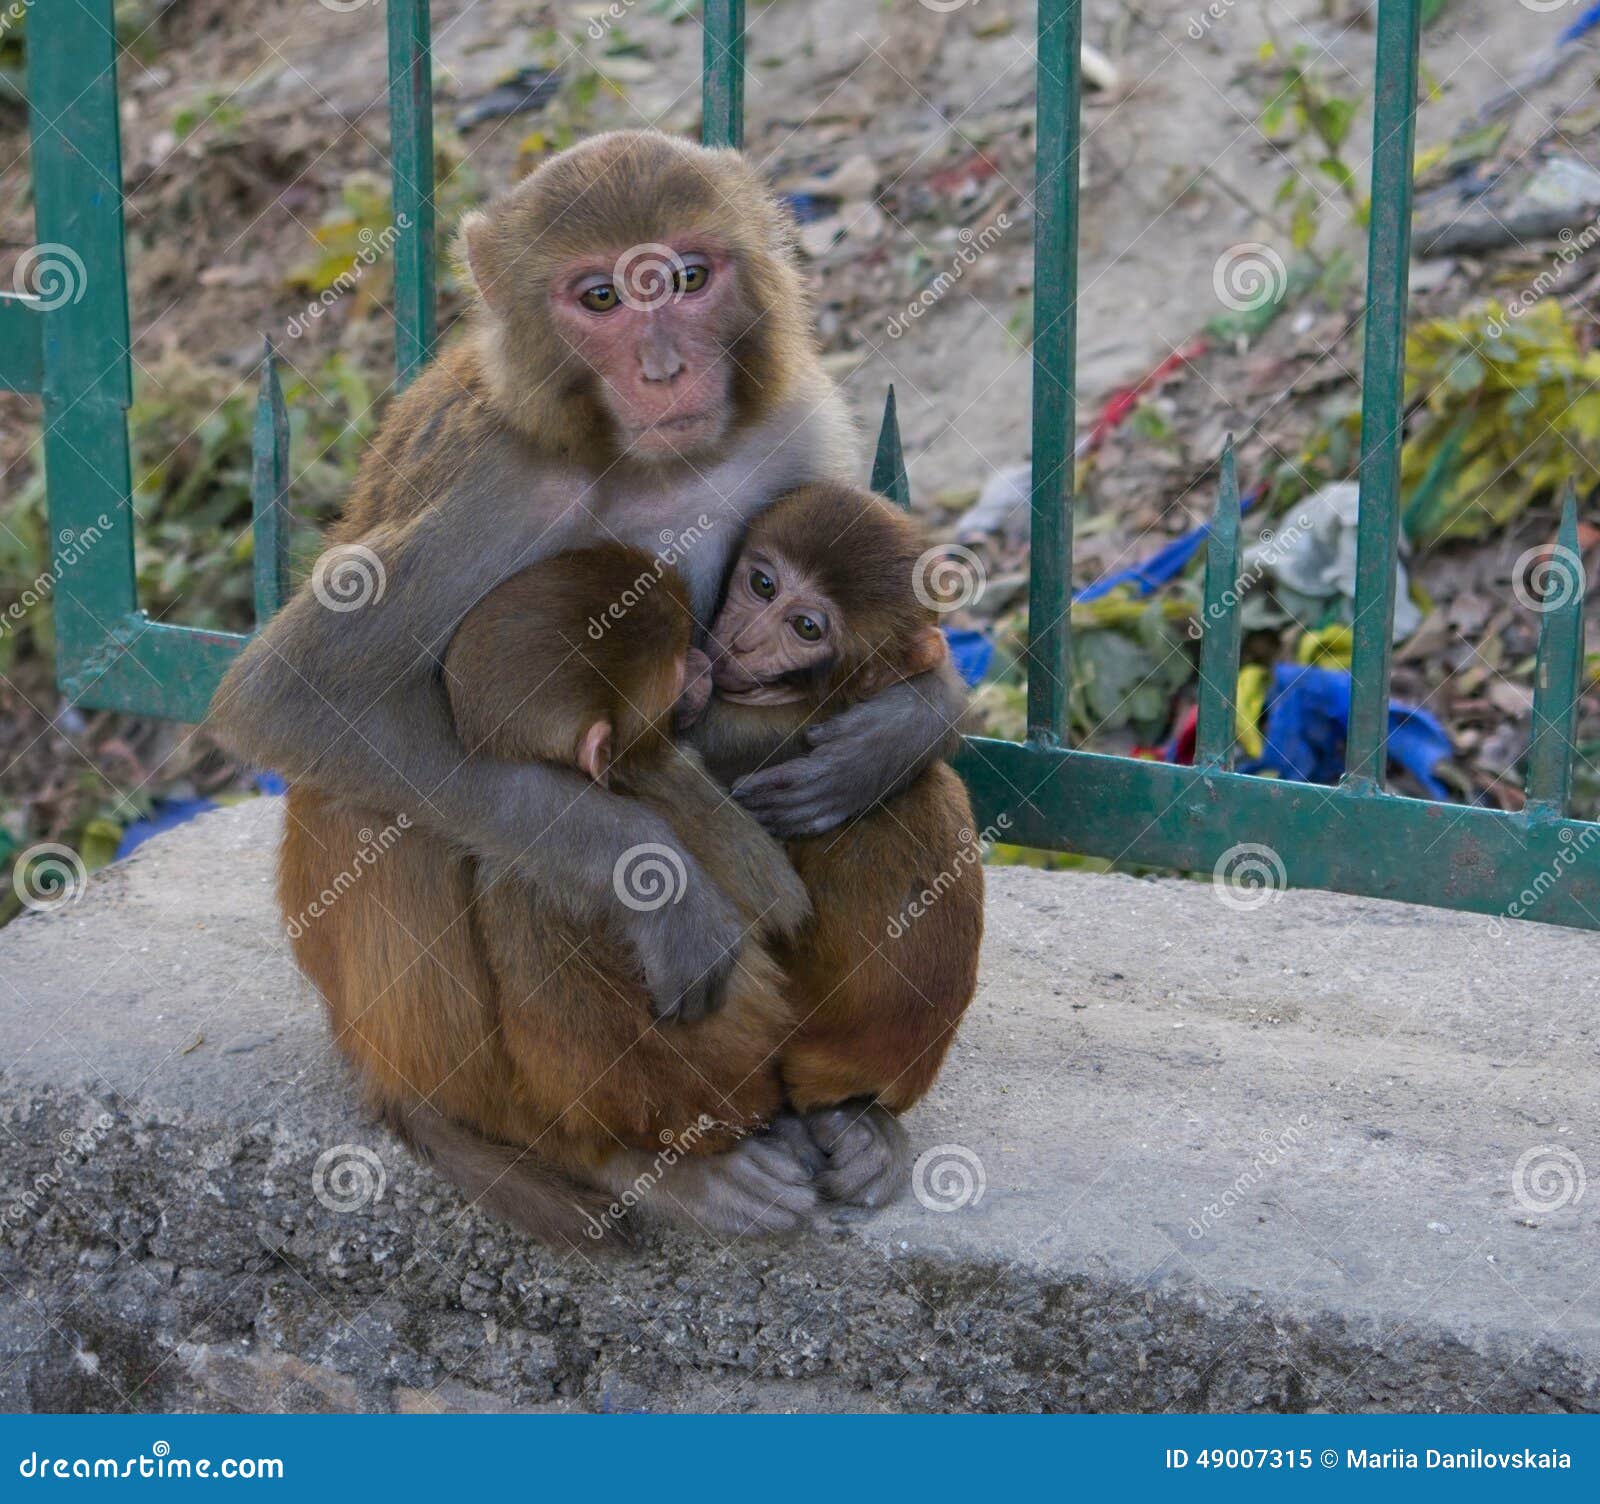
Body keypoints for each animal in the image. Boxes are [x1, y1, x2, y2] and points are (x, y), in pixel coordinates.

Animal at [211, 131, 969, 1235]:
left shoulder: (788, 418)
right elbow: (296, 698)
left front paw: (898, 726)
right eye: (600, 298)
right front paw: (661, 887)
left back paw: (857, 1111)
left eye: (689, 279)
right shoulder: (493, 483)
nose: (663, 369)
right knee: (416, 824)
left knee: (916, 797)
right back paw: (633, 1159)